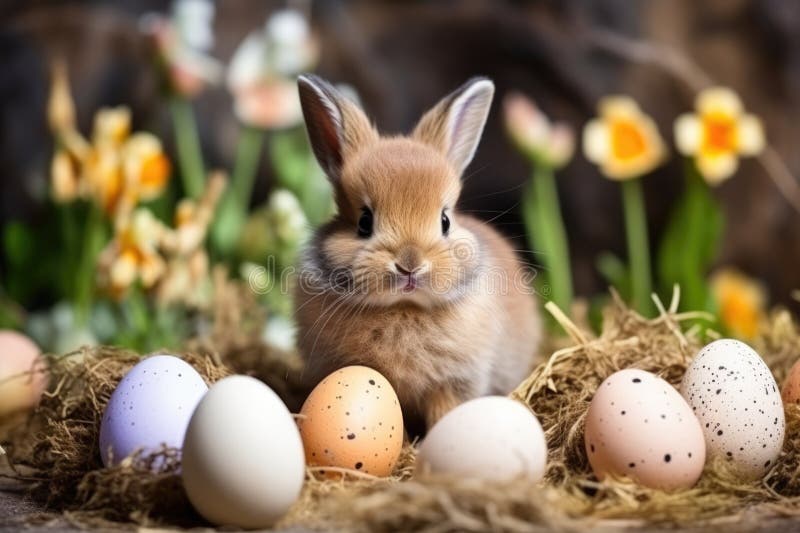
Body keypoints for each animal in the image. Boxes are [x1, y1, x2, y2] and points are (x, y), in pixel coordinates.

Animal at [294, 74, 541, 430]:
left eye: (445, 220)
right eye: (364, 222)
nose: (410, 264)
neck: (404, 308)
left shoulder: (453, 384)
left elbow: (444, 414)